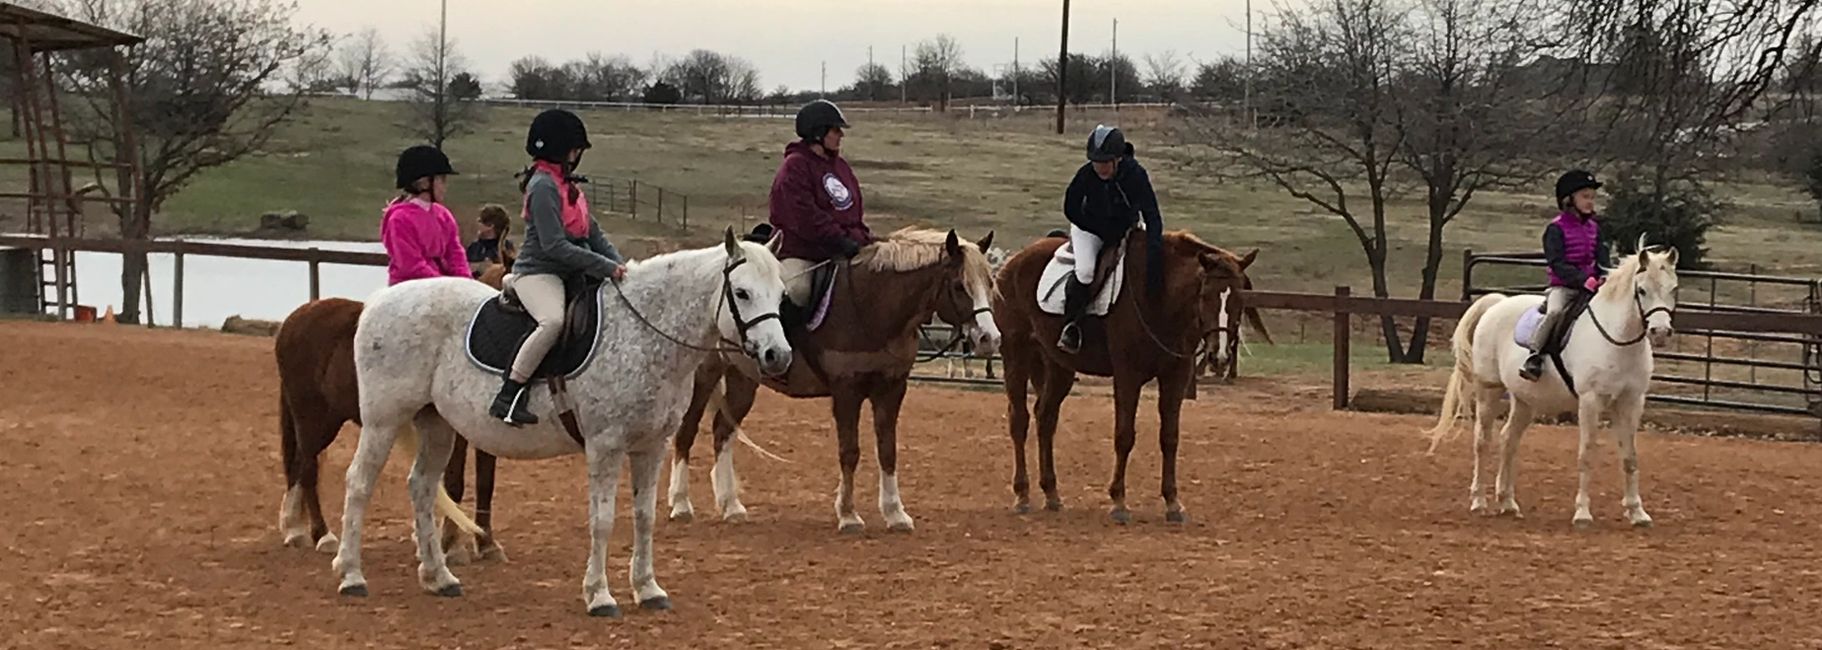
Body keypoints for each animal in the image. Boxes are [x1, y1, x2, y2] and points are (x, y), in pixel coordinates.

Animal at [332, 229, 792, 617]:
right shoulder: (606, 445)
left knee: (422, 487)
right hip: (384, 420)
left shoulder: (652, 446)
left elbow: (644, 517)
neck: (644, 333)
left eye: (782, 294)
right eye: (742, 292)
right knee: (359, 483)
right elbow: (602, 520)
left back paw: (438, 577)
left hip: (436, 425)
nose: (778, 356)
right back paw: (352, 574)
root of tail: (378, 301)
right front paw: (600, 595)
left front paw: (648, 589)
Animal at [667, 227, 1001, 533]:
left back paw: (731, 505)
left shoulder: (892, 388)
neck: (871, 305)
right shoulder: (846, 391)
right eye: (959, 285)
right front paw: (849, 514)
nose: (990, 338)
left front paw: (895, 513)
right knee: (687, 430)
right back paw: (681, 502)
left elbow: (888, 450)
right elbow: (849, 451)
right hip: (703, 376)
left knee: (722, 430)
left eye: (990, 283)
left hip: (743, 378)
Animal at [993, 229, 1269, 523]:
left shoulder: (1176, 376)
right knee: (1019, 420)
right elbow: (1124, 435)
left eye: (1240, 298)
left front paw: (1173, 503)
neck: (1160, 298)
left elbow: (1170, 437)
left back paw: (1051, 493)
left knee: (1045, 418)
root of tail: (1013, 262)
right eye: (1205, 295)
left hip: (1058, 366)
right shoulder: (1128, 375)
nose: (1220, 356)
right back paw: (1022, 494)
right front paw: (1119, 502)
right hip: (1016, 354)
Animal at [1425, 241, 1679, 528]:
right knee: (1483, 441)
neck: (1618, 340)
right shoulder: (1590, 401)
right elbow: (1586, 454)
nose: (1660, 332)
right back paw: (1479, 501)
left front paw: (1637, 512)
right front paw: (1582, 513)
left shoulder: (1631, 402)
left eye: (1673, 288)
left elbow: (1630, 457)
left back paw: (1508, 502)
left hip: (1525, 400)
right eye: (1642, 290)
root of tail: (1497, 304)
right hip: (1488, 391)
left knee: (1508, 440)